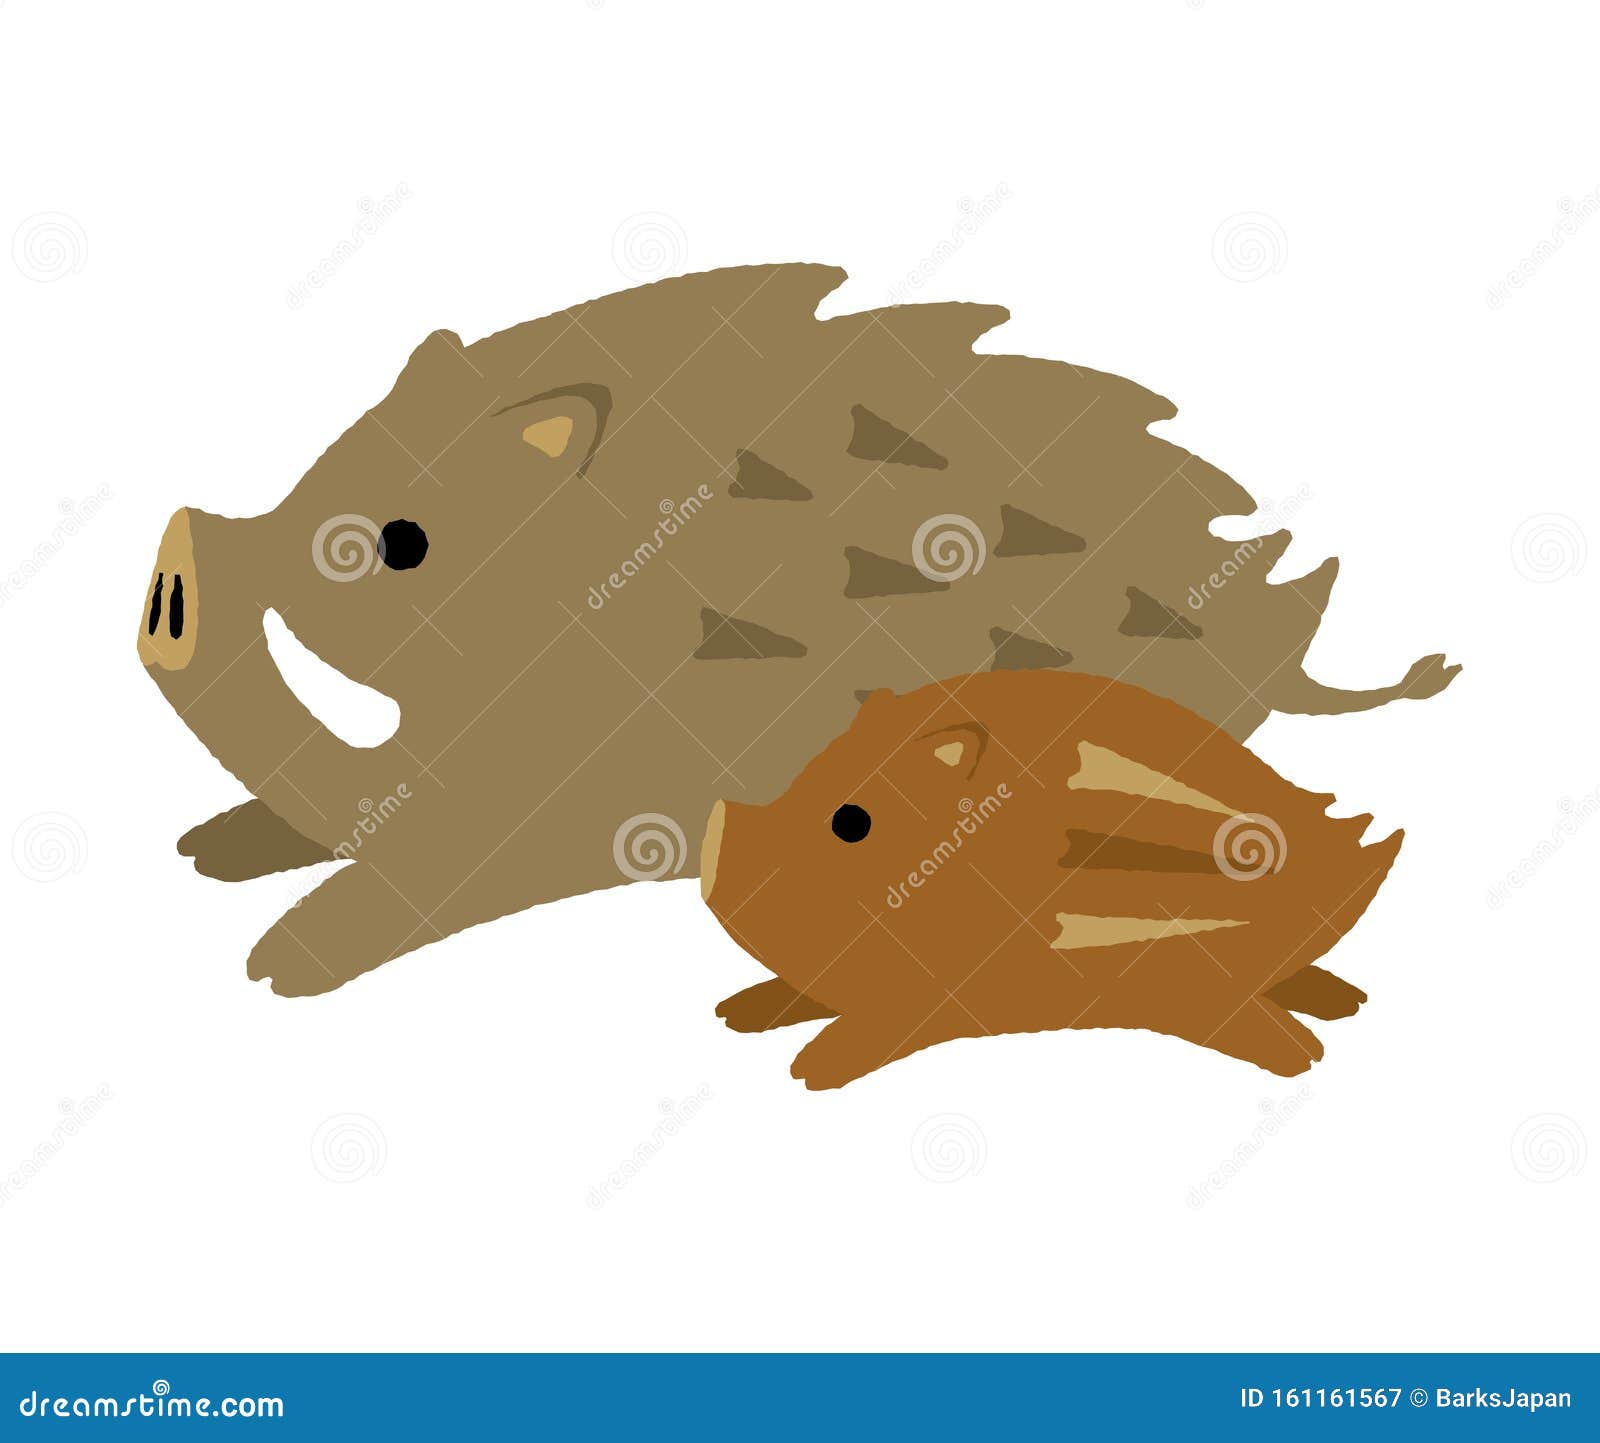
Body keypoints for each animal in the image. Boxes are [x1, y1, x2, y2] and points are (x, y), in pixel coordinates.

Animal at [139, 263, 1455, 995]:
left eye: (399, 542)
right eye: (308, 488)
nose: (183, 558)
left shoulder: (593, 784)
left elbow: (451, 856)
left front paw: (280, 966)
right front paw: (212, 850)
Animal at [701, 670, 1402, 1089]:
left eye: (852, 822)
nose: (713, 834)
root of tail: (1359, 849)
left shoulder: (927, 1001)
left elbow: (872, 1028)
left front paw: (808, 1073)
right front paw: (733, 1016)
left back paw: (1307, 1055)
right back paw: (1347, 1004)